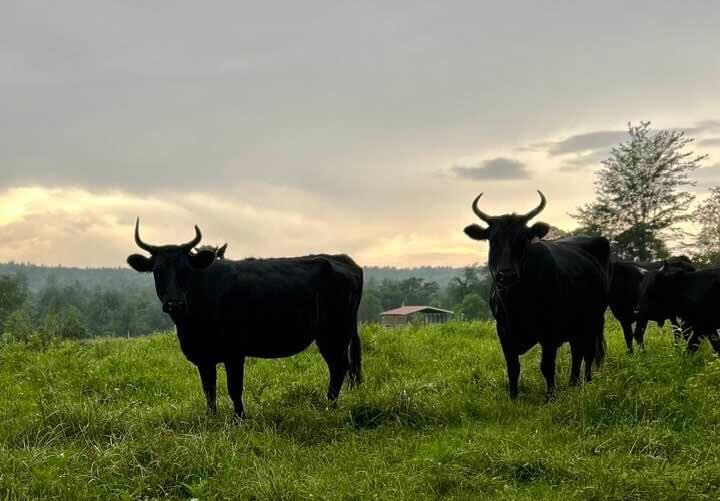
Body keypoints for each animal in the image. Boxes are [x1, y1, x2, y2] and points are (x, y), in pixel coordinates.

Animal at [127, 219, 363, 419]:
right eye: (157, 271)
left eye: (186, 270)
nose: (174, 303)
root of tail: (343, 260)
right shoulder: (203, 356)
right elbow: (209, 389)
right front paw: (211, 417)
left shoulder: (234, 352)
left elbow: (234, 388)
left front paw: (239, 419)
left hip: (334, 334)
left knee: (339, 366)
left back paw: (329, 406)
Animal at [464, 191, 610, 400]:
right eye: (493, 240)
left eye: (522, 240)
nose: (506, 275)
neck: (516, 303)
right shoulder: (503, 331)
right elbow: (513, 368)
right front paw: (513, 398)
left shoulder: (549, 330)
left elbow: (547, 366)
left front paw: (551, 397)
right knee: (577, 351)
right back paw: (573, 384)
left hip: (594, 320)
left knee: (587, 352)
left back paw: (586, 383)